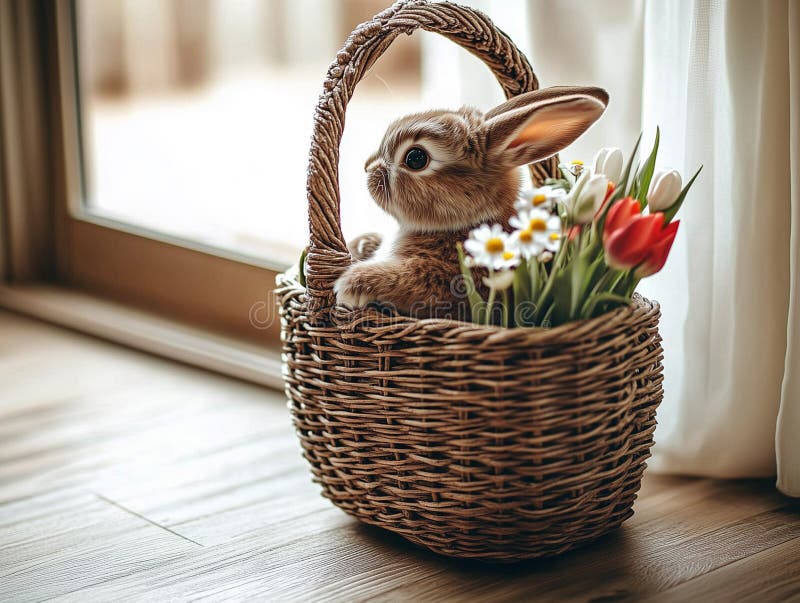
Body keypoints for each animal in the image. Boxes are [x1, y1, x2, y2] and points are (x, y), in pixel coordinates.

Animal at [334, 86, 609, 319]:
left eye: (415, 158)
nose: (368, 167)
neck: (464, 224)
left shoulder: (450, 281)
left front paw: (349, 286)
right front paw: (361, 244)